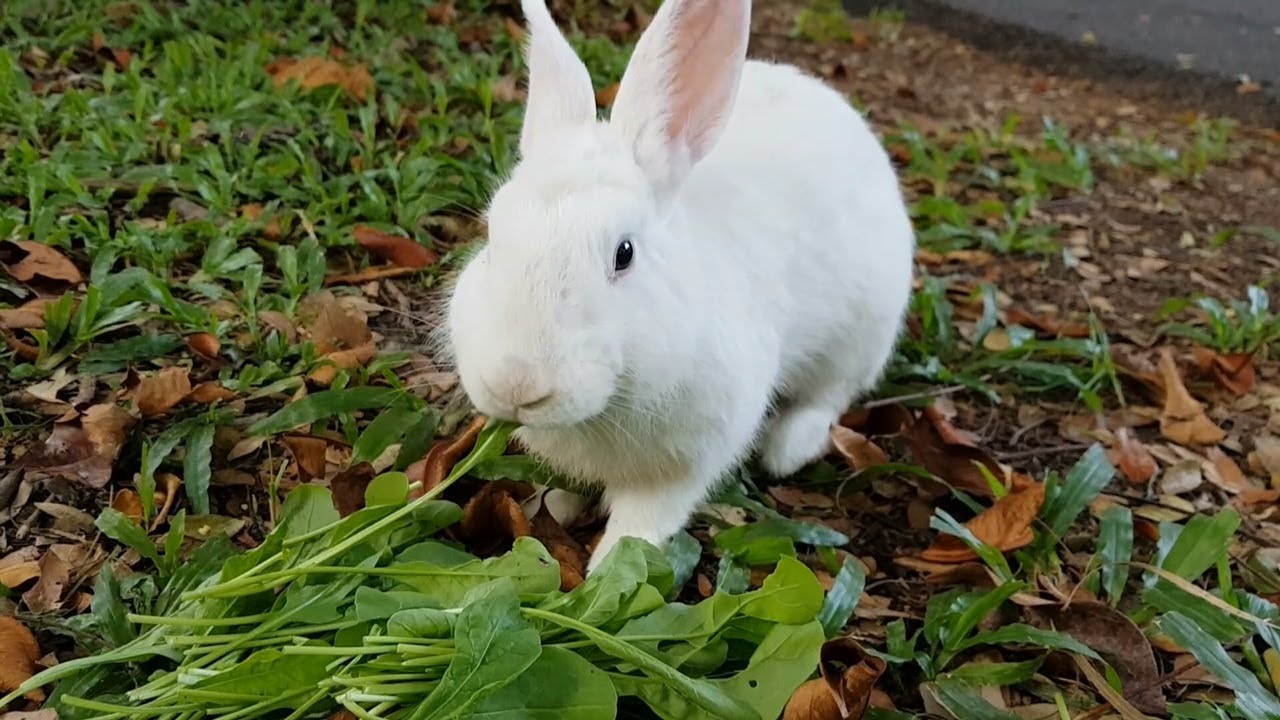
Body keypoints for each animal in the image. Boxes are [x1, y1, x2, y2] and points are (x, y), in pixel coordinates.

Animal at [446, 0, 915, 572]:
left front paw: (609, 567)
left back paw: (786, 449)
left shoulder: (687, 462)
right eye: (491, 236)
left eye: (624, 253)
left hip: (860, 335)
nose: (516, 386)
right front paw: (553, 504)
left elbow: (644, 520)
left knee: (830, 395)